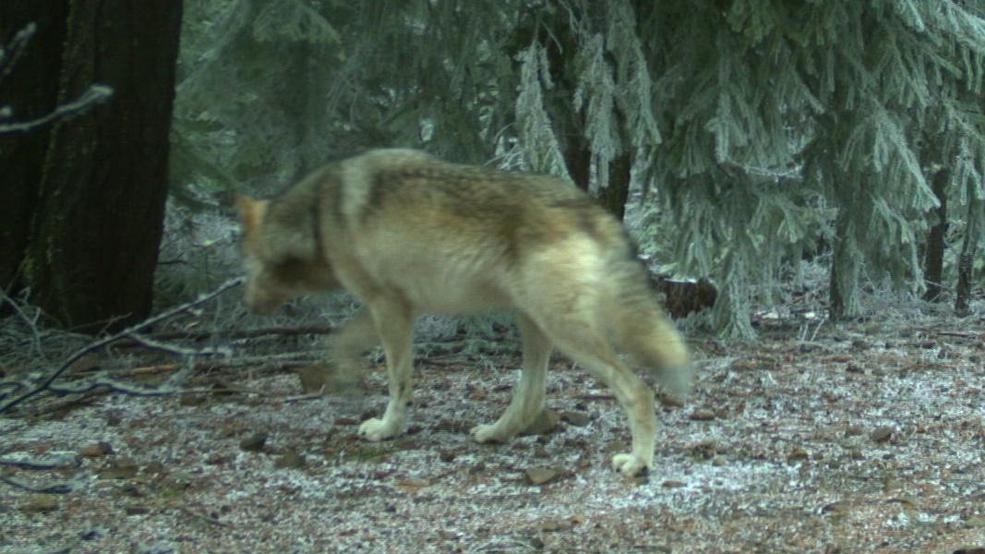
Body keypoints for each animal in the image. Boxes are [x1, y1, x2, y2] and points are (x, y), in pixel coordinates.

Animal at [236, 149, 691, 476]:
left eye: (248, 264)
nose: (247, 303)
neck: (316, 215)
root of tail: (587, 205)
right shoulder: (392, 306)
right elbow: (339, 344)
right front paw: (347, 387)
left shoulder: (388, 308)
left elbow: (398, 381)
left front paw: (386, 428)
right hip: (534, 324)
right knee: (531, 396)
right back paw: (496, 433)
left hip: (565, 332)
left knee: (638, 390)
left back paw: (638, 463)